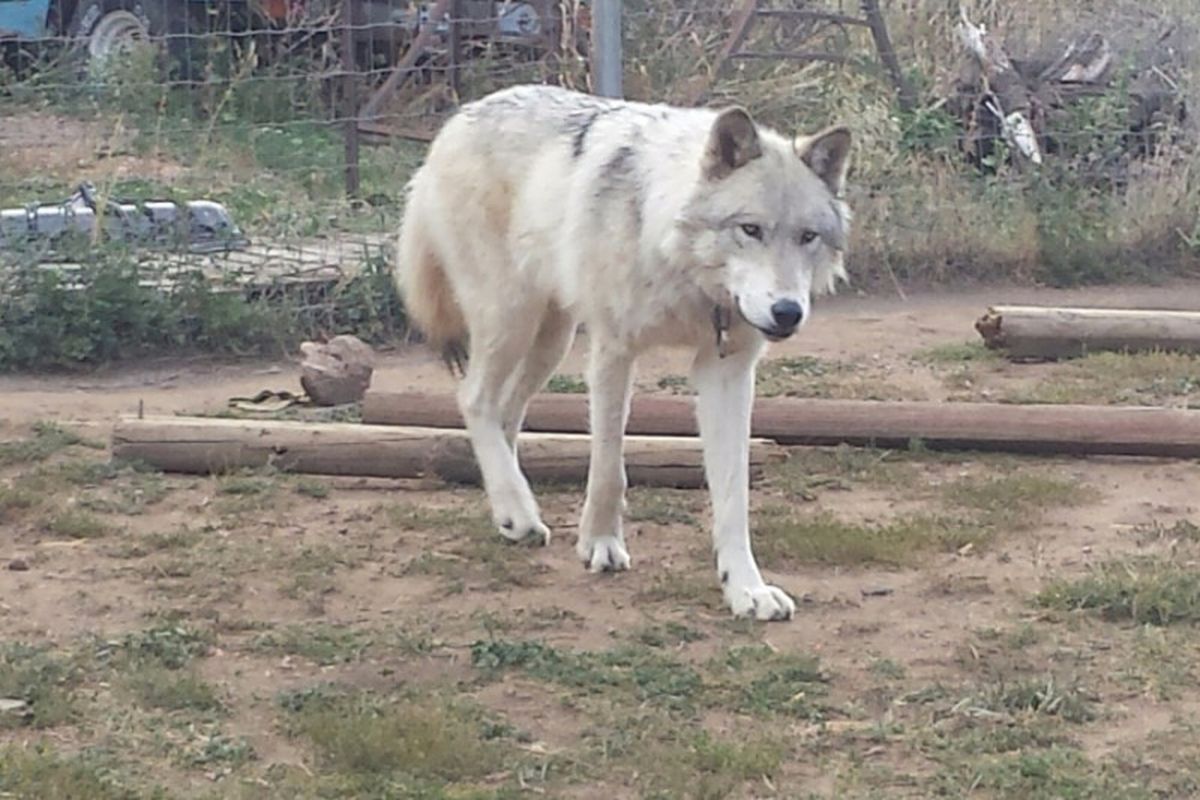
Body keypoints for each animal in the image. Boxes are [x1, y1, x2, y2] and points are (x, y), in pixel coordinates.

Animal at [394, 84, 852, 621]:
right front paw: (601, 544)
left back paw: (509, 510)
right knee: (473, 400)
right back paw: (519, 511)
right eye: (751, 229)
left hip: (551, 341)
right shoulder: (613, 350)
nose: (786, 312)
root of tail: (457, 120)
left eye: (808, 237)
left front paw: (745, 589)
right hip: (512, 317)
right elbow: (609, 466)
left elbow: (733, 496)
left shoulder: (727, 371)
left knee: (503, 414)